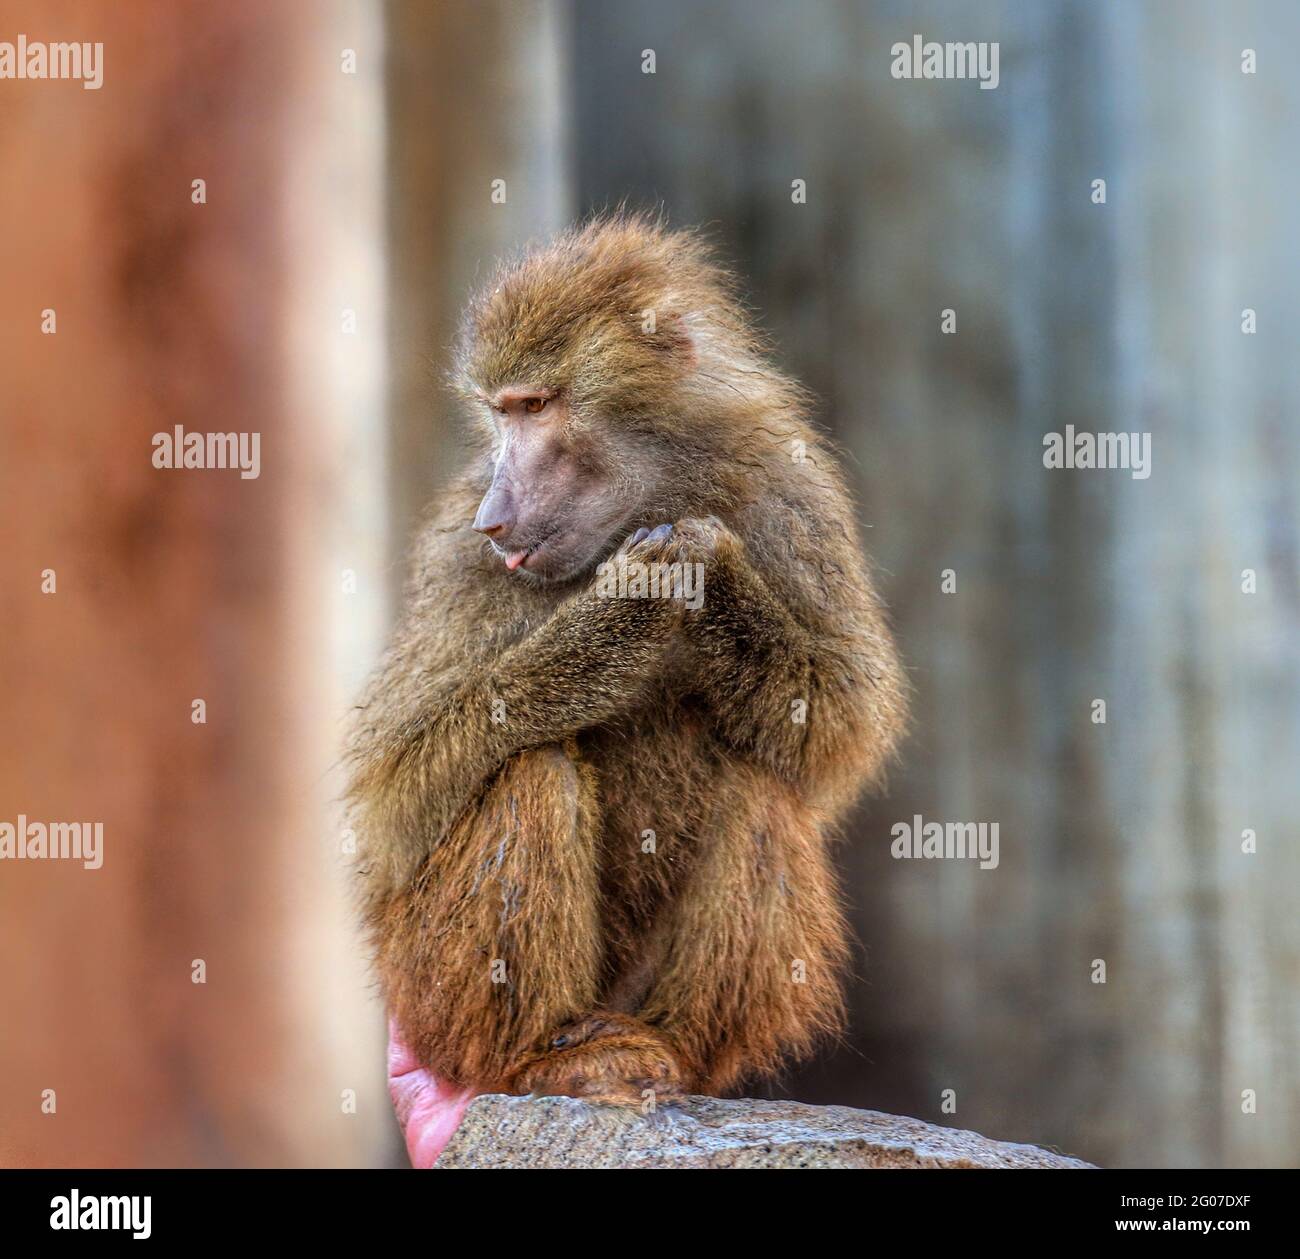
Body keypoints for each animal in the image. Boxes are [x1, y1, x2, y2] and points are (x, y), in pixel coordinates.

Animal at [345, 213, 907, 1106]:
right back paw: (543, 1055)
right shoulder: (458, 556)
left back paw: (672, 1049)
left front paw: (709, 578)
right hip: (425, 987)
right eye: (501, 414)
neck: (651, 493)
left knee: (761, 786)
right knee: (531, 769)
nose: (493, 517)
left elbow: (844, 727)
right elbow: (387, 800)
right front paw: (615, 622)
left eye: (536, 405)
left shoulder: (790, 490)